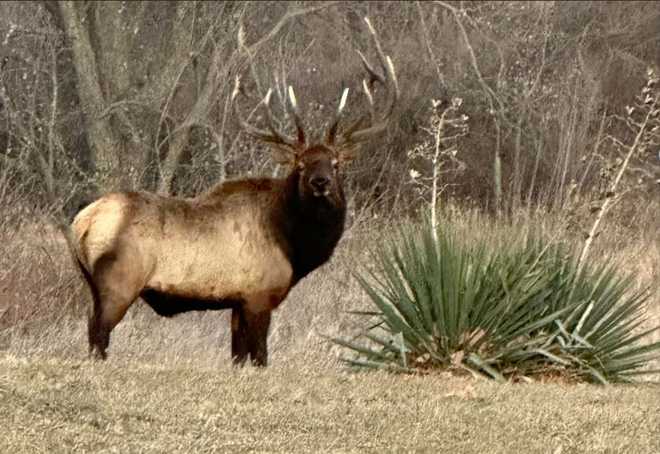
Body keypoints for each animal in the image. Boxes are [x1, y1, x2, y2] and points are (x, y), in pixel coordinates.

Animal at [68, 17, 398, 366]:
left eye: (335, 164)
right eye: (300, 164)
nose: (319, 182)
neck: (293, 244)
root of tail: (81, 223)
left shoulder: (237, 302)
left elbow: (238, 357)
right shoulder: (258, 295)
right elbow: (260, 356)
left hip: (92, 285)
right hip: (119, 282)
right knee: (98, 334)